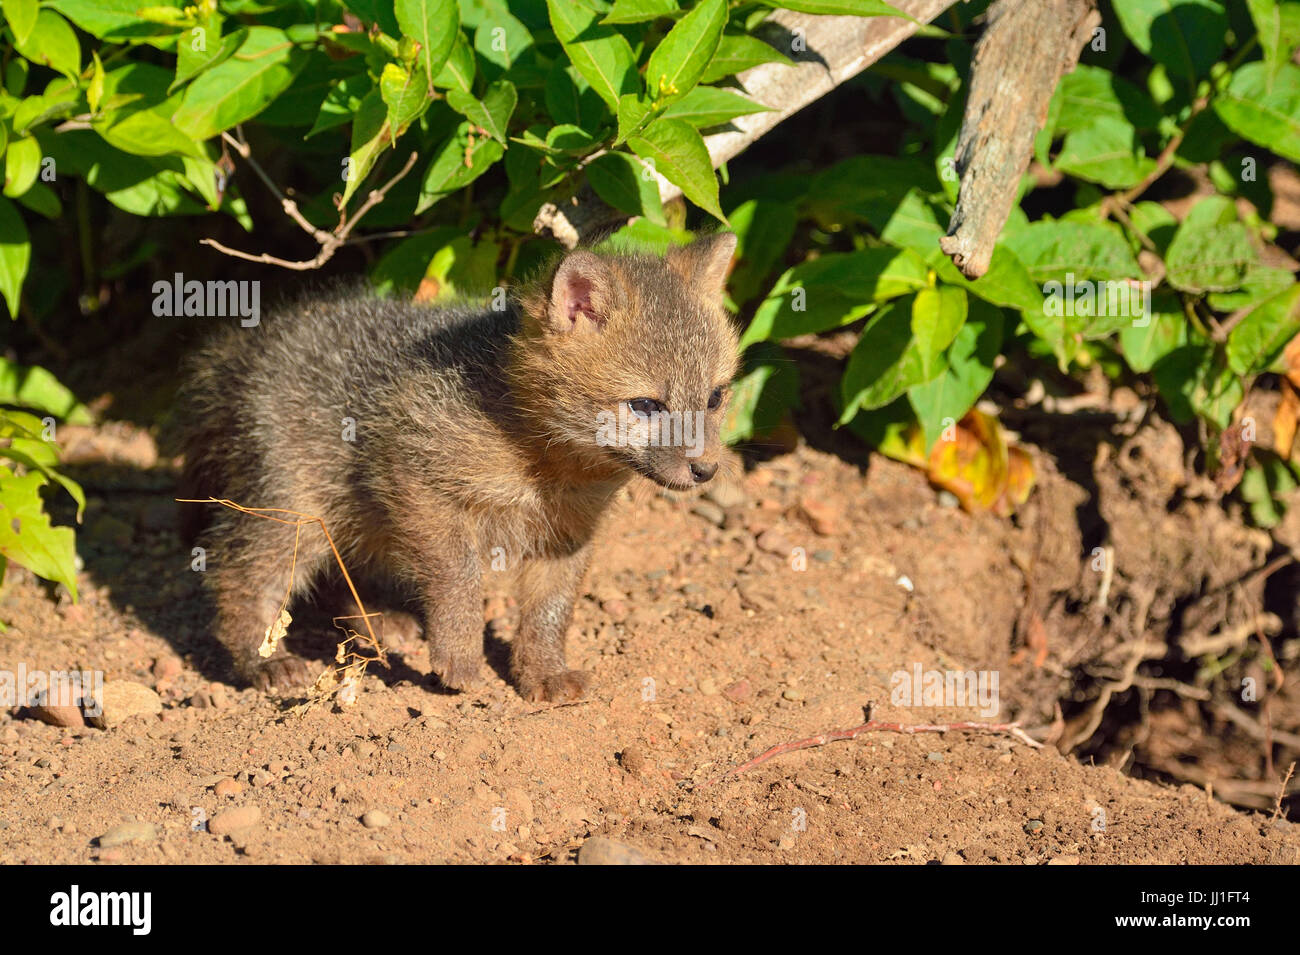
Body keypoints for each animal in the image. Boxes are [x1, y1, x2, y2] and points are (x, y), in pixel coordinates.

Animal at [178, 233, 739, 702]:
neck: (543, 464)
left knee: (340, 571)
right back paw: (261, 662)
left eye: (715, 397)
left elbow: (551, 613)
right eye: (645, 405)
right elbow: (459, 582)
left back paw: (378, 620)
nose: (707, 471)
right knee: (239, 577)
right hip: (293, 516)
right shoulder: (414, 480)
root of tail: (246, 346)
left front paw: (545, 673)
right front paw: (459, 658)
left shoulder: (568, 533)